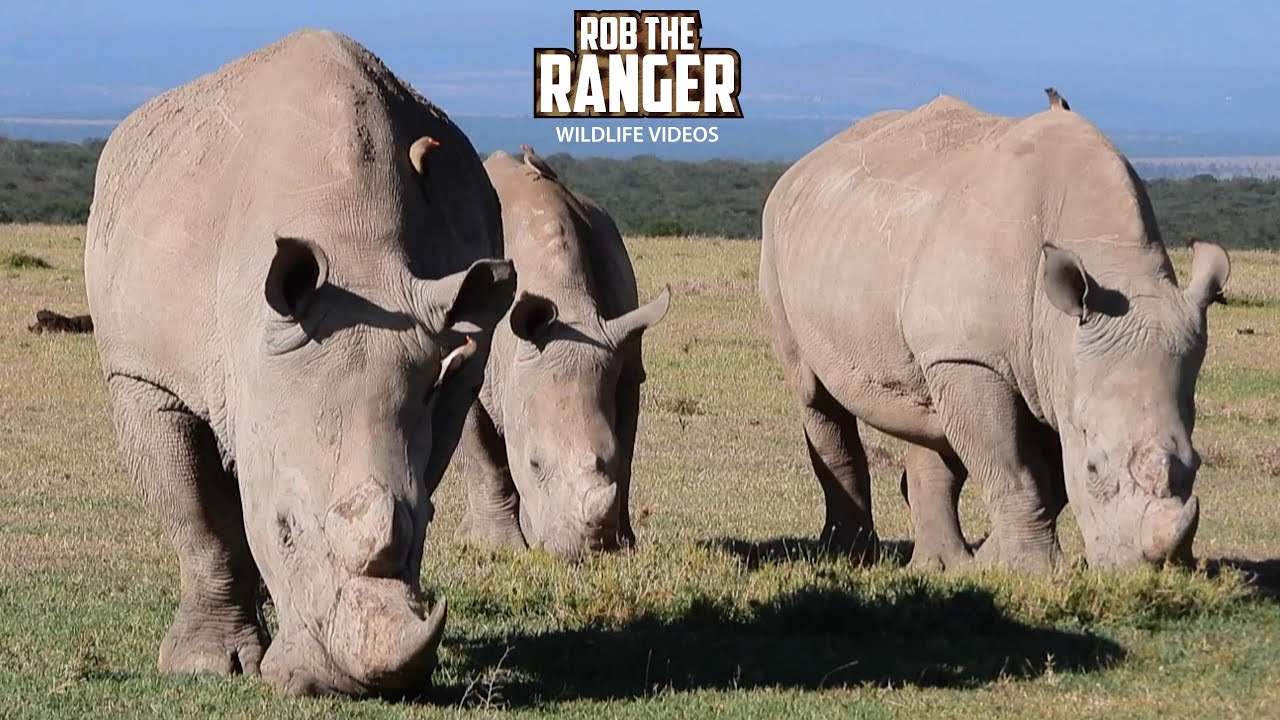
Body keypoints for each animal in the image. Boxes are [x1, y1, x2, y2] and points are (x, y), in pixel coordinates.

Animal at [84, 30, 517, 695]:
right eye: (285, 528)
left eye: (426, 522)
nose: (346, 686)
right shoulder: (148, 376)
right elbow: (200, 521)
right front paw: (206, 665)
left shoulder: (449, 368)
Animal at [451, 151, 670, 560]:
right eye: (534, 463)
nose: (581, 551)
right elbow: (482, 459)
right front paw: (500, 547)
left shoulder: (622, 357)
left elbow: (626, 452)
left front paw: (623, 544)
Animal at [760, 96, 1230, 571]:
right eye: (1094, 469)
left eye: (1196, 463)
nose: (1143, 573)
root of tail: (803, 164)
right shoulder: (977, 356)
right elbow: (1013, 467)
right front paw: (1034, 570)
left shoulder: (1052, 365)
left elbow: (1046, 476)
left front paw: (990, 562)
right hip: (778, 238)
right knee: (814, 394)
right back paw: (848, 555)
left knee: (931, 415)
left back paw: (940, 565)